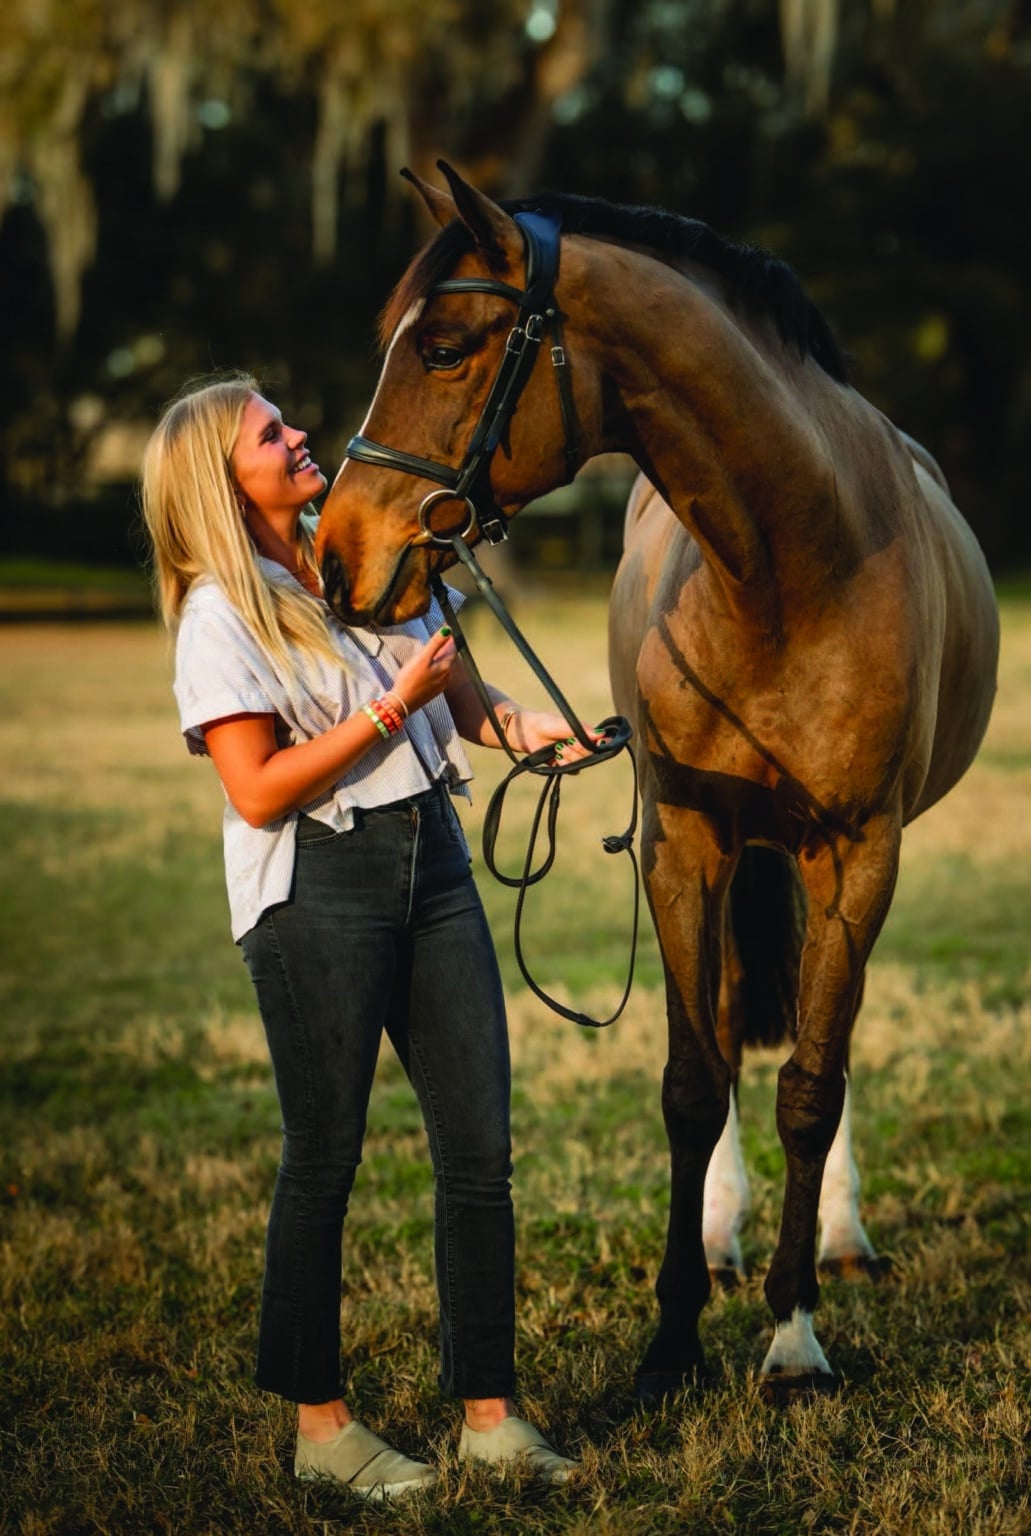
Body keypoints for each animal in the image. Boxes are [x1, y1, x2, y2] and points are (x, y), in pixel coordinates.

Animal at [314, 162, 999, 1403]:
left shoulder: (857, 855)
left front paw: (793, 1339)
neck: (787, 568)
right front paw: (673, 1340)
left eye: (442, 347)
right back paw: (727, 1241)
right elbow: (693, 1081)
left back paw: (834, 1240)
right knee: (727, 1028)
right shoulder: (683, 843)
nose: (337, 555)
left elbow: (809, 1087)